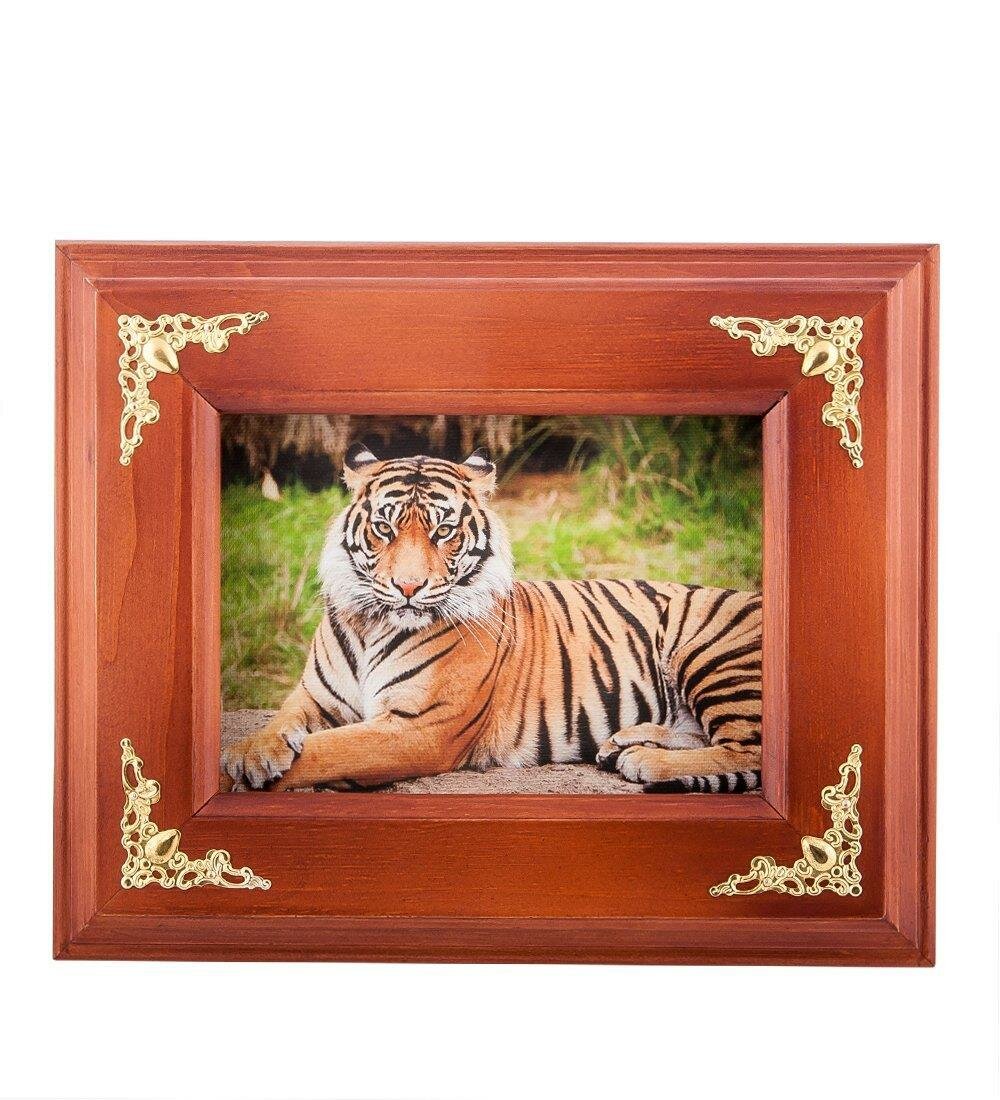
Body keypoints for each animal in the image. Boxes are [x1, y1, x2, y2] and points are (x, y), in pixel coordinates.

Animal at [221, 444, 763, 794]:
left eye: (443, 532)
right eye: (383, 528)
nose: (408, 588)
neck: (372, 624)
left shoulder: (420, 727)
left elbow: (327, 750)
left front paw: (238, 775)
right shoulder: (314, 696)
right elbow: (281, 721)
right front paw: (250, 752)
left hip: (711, 652)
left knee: (748, 751)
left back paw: (643, 760)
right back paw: (622, 742)